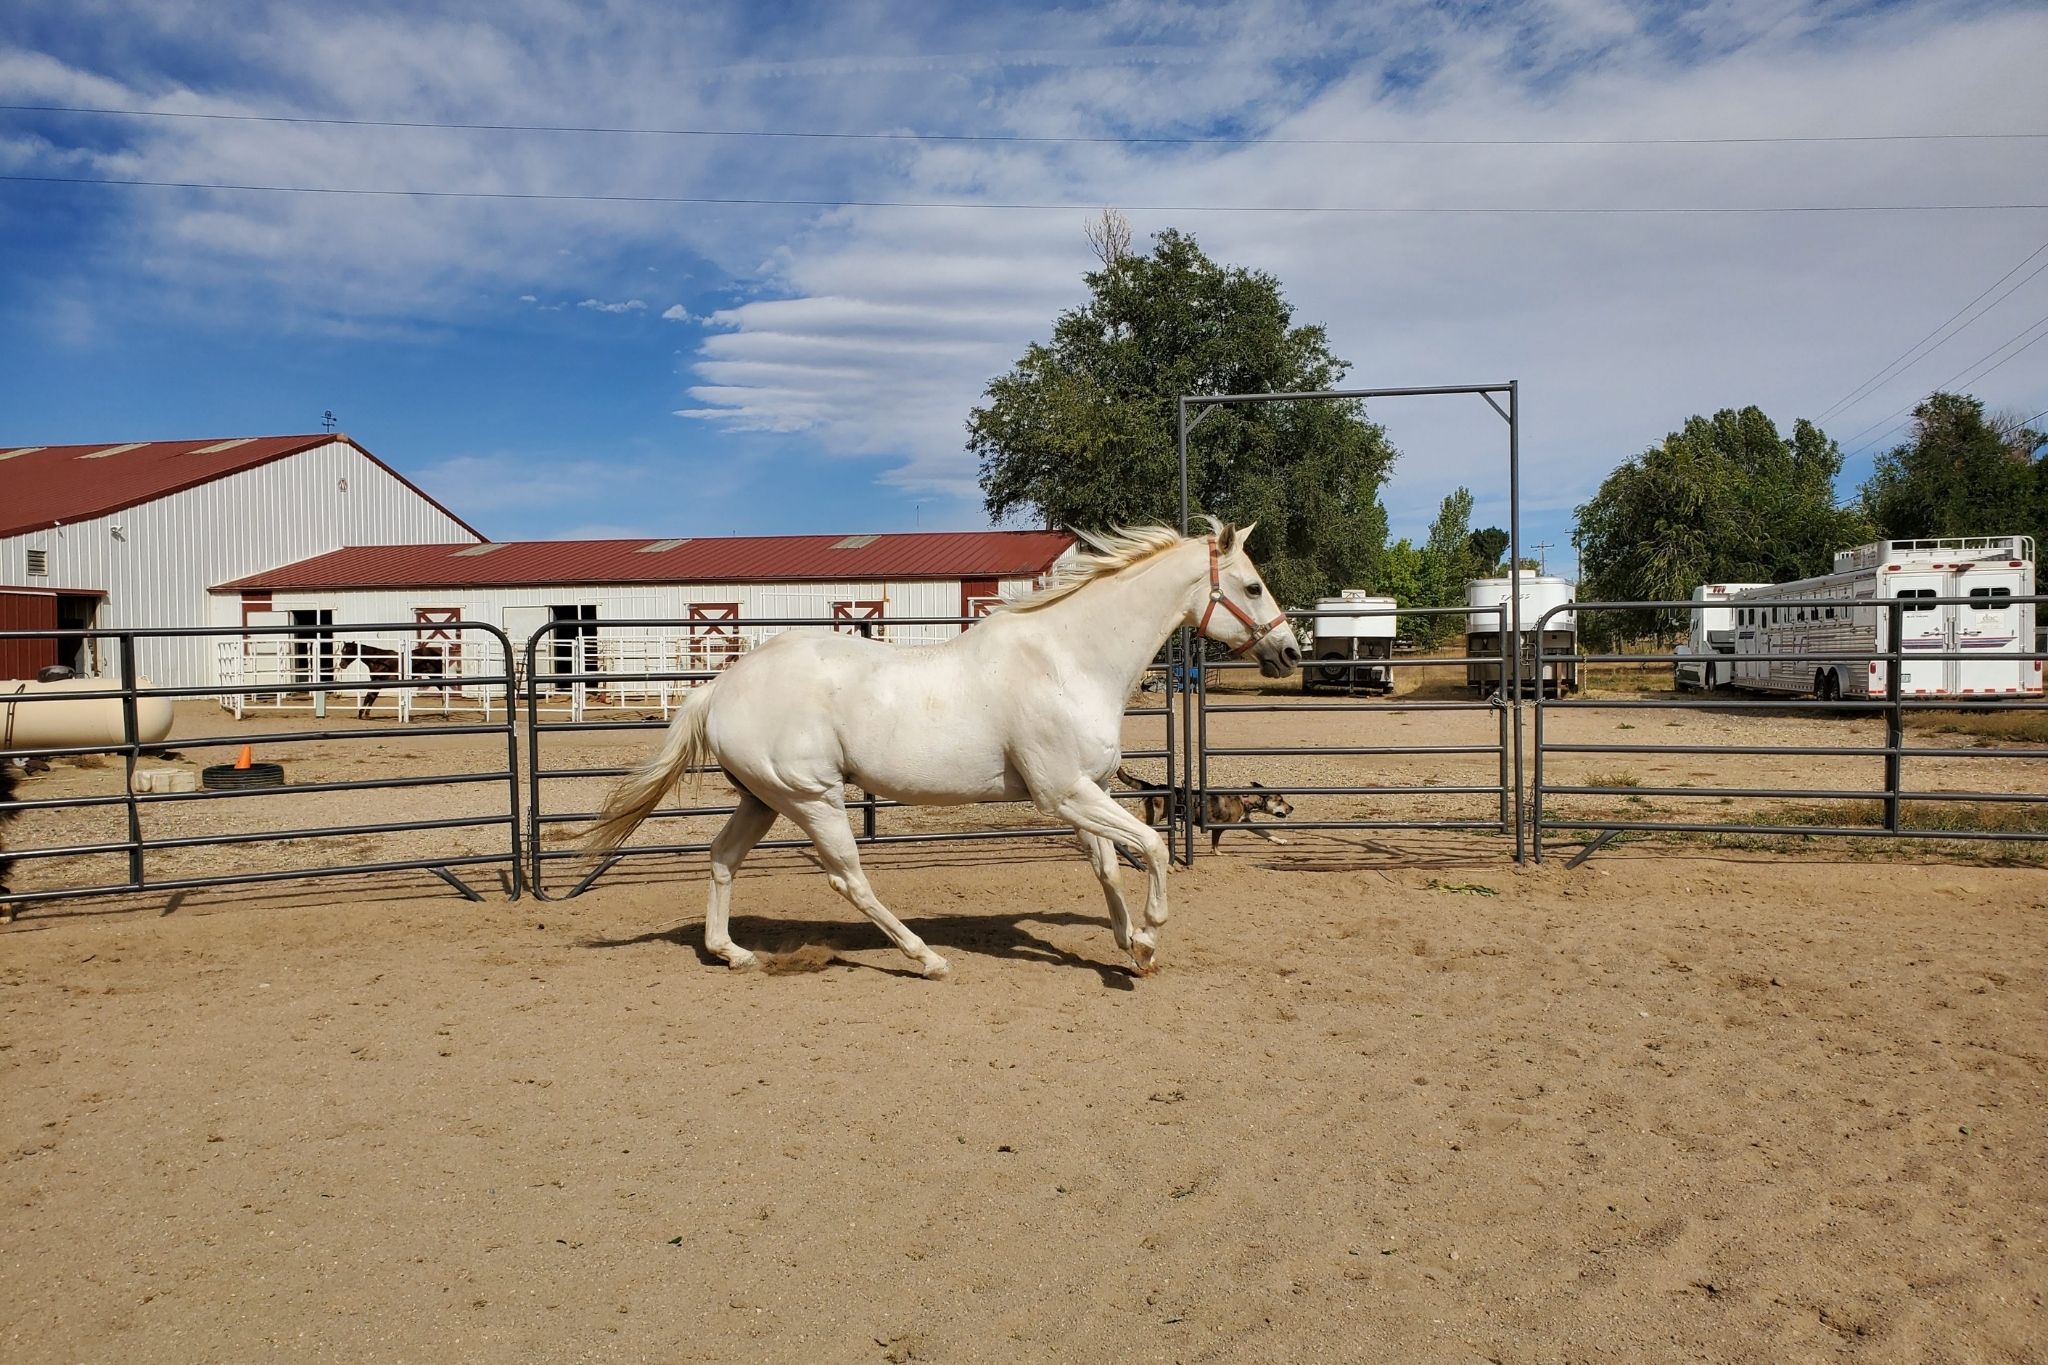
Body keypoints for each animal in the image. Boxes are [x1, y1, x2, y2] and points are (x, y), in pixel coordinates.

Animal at [584, 521, 1301, 978]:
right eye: (1253, 586)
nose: (1290, 652)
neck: (1067, 659)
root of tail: (718, 689)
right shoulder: (1063, 792)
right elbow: (1150, 847)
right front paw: (1152, 929)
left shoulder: (1085, 792)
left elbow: (1107, 866)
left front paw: (1135, 948)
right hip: (813, 799)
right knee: (849, 879)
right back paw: (927, 958)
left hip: (761, 800)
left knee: (722, 858)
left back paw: (731, 953)